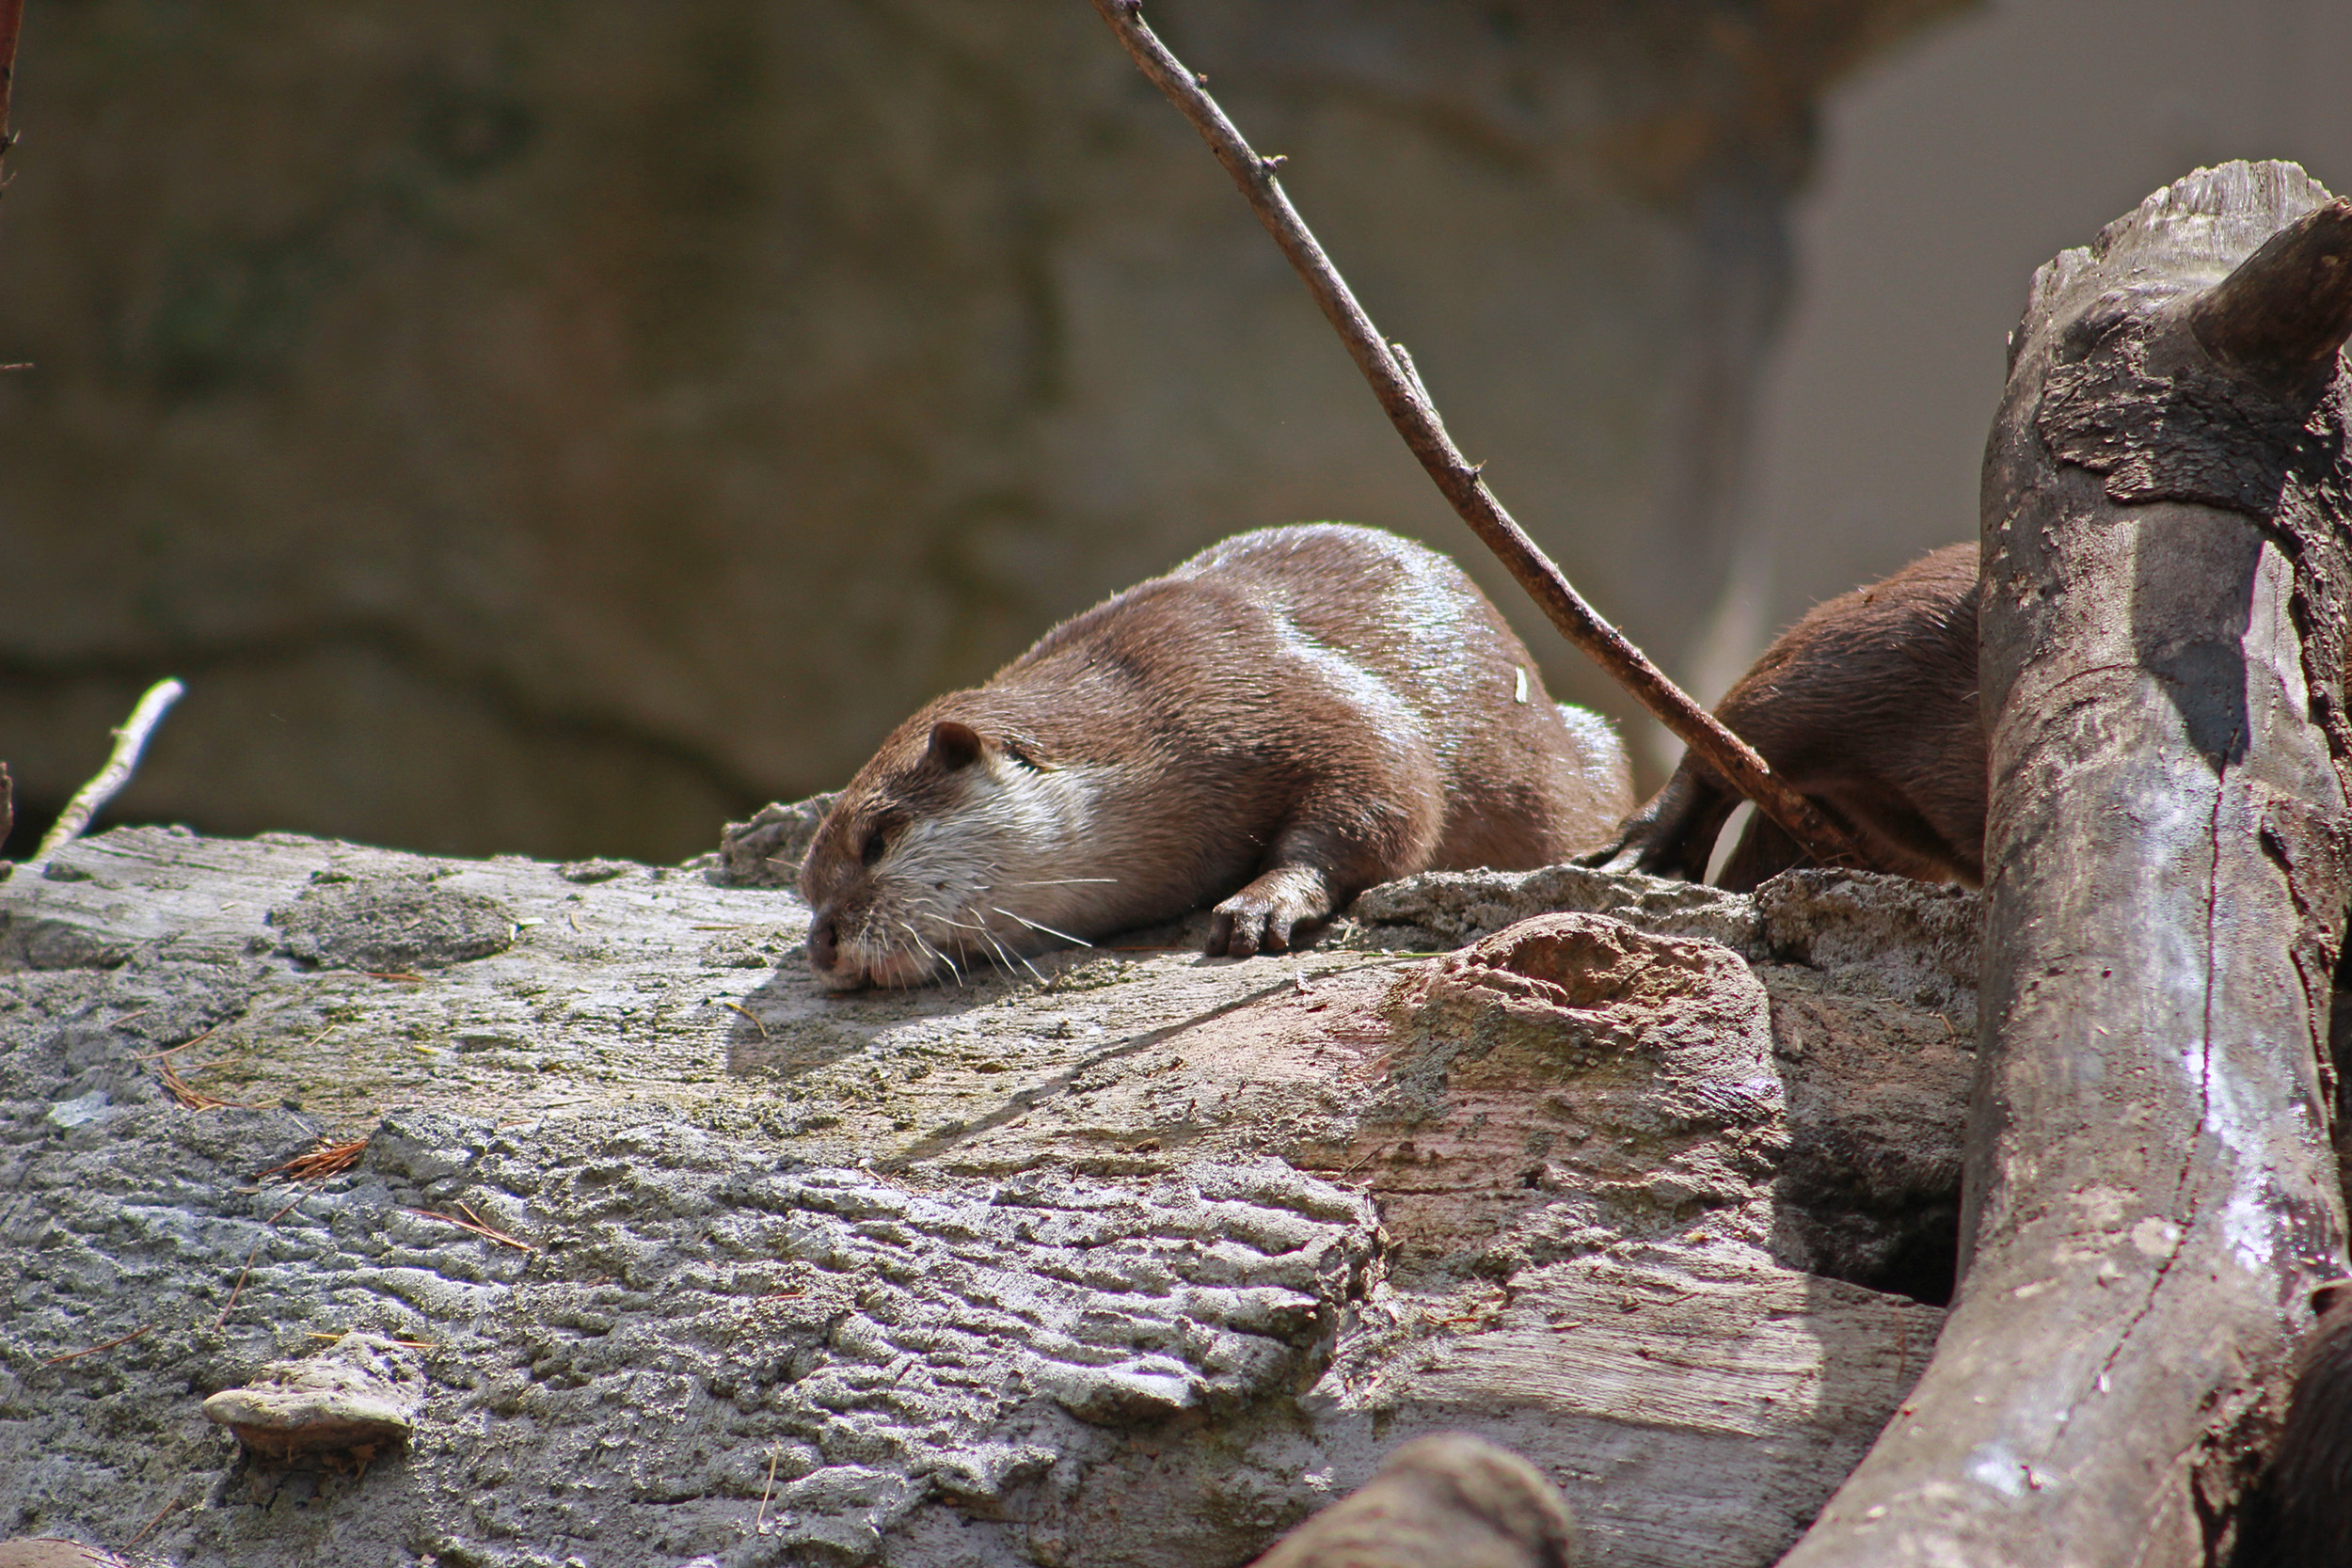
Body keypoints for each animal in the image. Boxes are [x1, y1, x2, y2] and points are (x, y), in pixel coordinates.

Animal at [800, 523, 1632, 989]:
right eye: (807, 885)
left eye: (877, 839)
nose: (822, 942)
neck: (1143, 728)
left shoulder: (1259, 684)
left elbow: (1393, 783)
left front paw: (1262, 903)